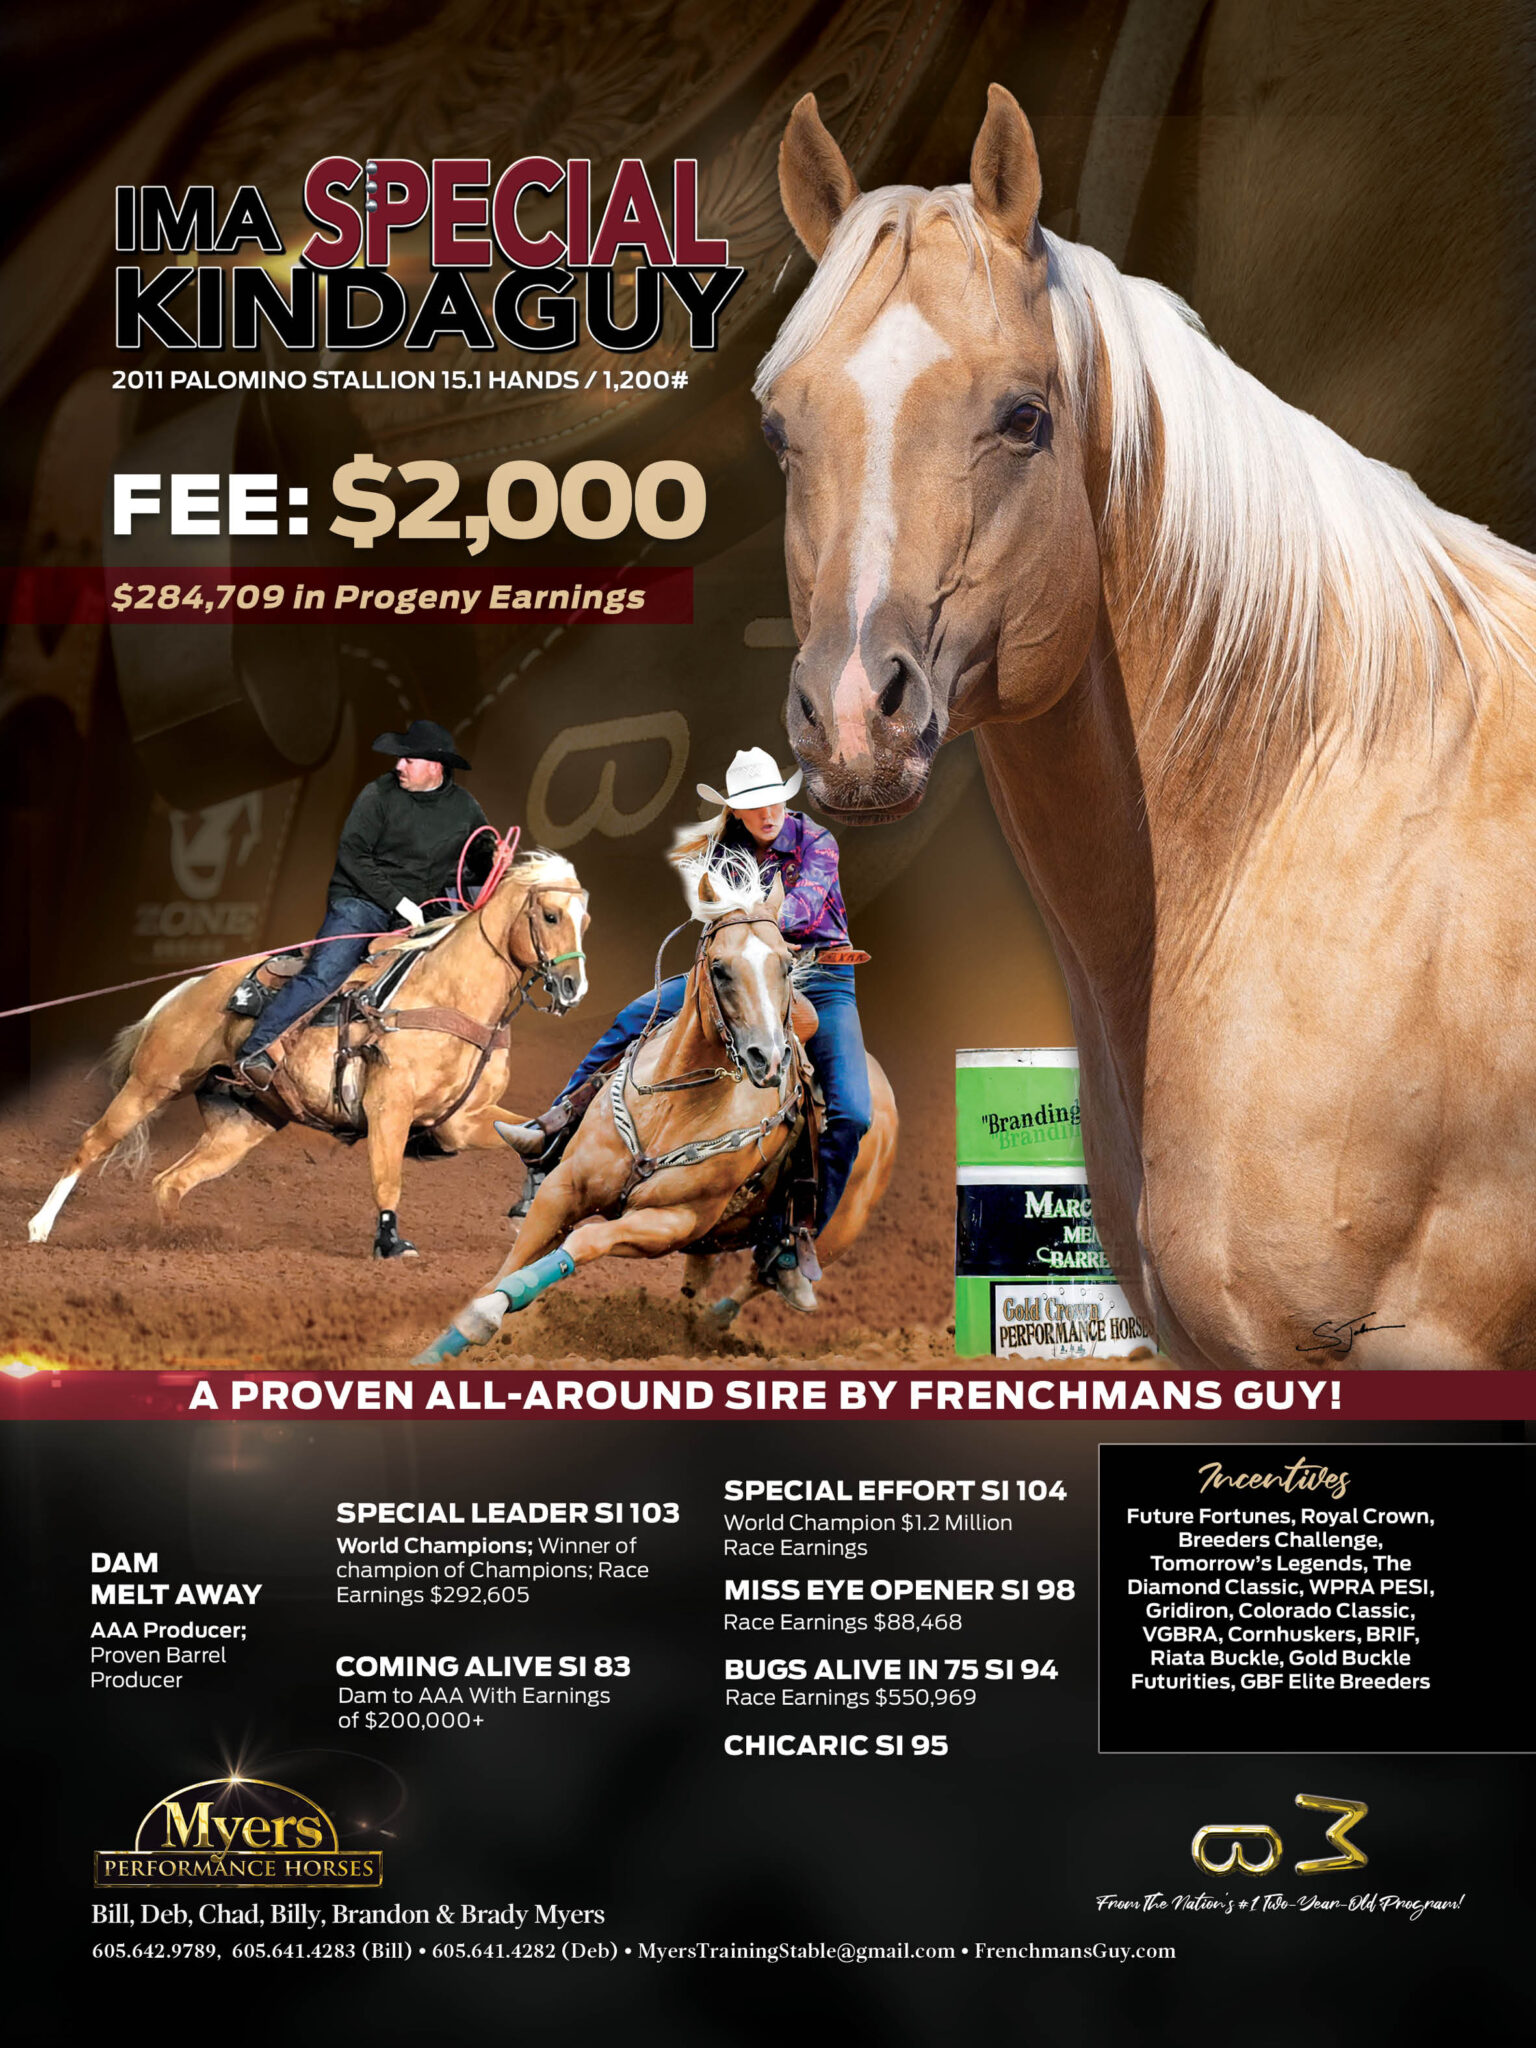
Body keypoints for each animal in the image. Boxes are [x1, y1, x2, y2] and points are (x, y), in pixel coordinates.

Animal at [25, 853, 589, 1260]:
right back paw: (39, 1227)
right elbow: (388, 1178)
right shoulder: (389, 1110)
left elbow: (539, 1136)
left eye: (584, 920)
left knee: (170, 1183)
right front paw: (391, 1244)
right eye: (550, 915)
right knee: (92, 1144)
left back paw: (168, 1241)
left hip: (240, 1127)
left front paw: (531, 1204)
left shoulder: (460, 1123)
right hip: (152, 1084)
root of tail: (190, 989)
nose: (573, 987)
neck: (448, 996)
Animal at [412, 851, 897, 1362]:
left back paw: (738, 1306)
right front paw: (441, 1344)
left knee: (762, 1274)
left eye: (786, 966)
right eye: (720, 967)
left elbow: (582, 1241)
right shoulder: (563, 1187)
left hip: (835, 1232)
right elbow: (510, 1264)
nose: (767, 1059)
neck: (672, 1108)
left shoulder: (671, 1223)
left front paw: (486, 1315)